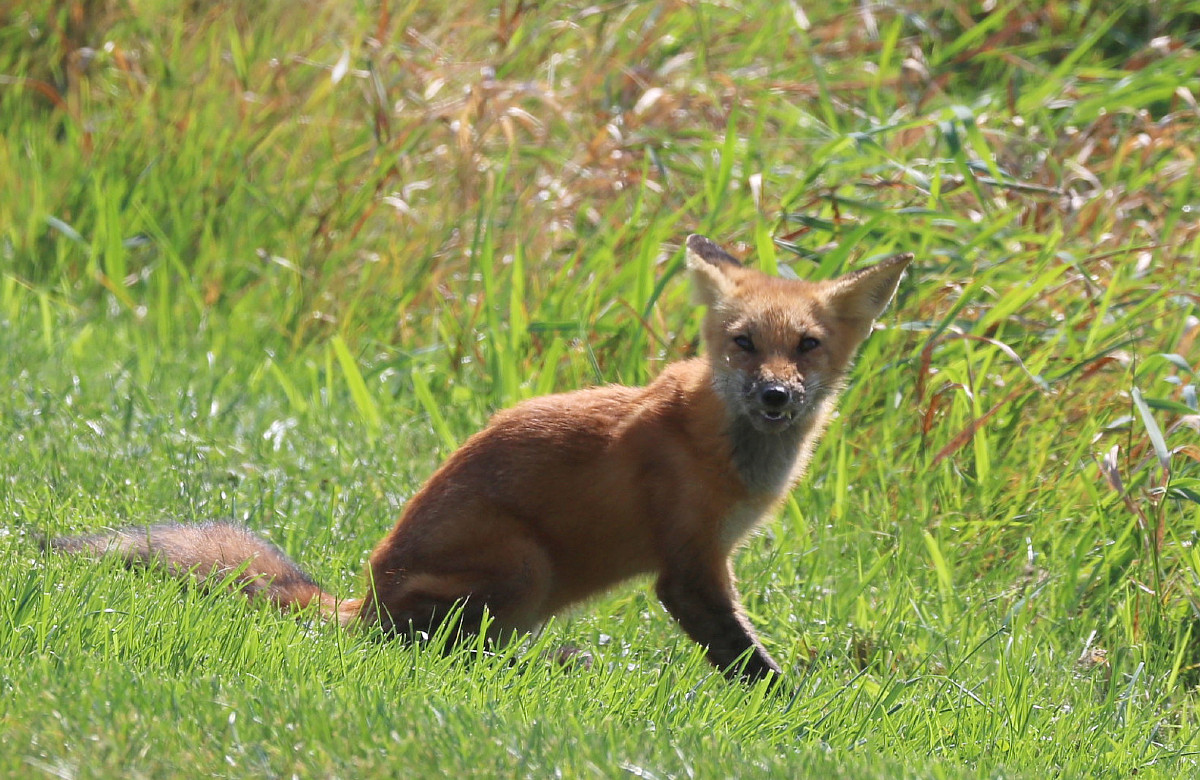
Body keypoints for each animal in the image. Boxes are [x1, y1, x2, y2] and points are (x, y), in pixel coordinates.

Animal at [48, 234, 911, 683]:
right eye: (743, 344)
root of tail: (364, 600)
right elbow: (746, 657)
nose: (776, 395)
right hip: (526, 565)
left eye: (807, 346)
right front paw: (798, 711)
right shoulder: (687, 564)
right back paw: (537, 667)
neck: (724, 451)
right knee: (447, 654)